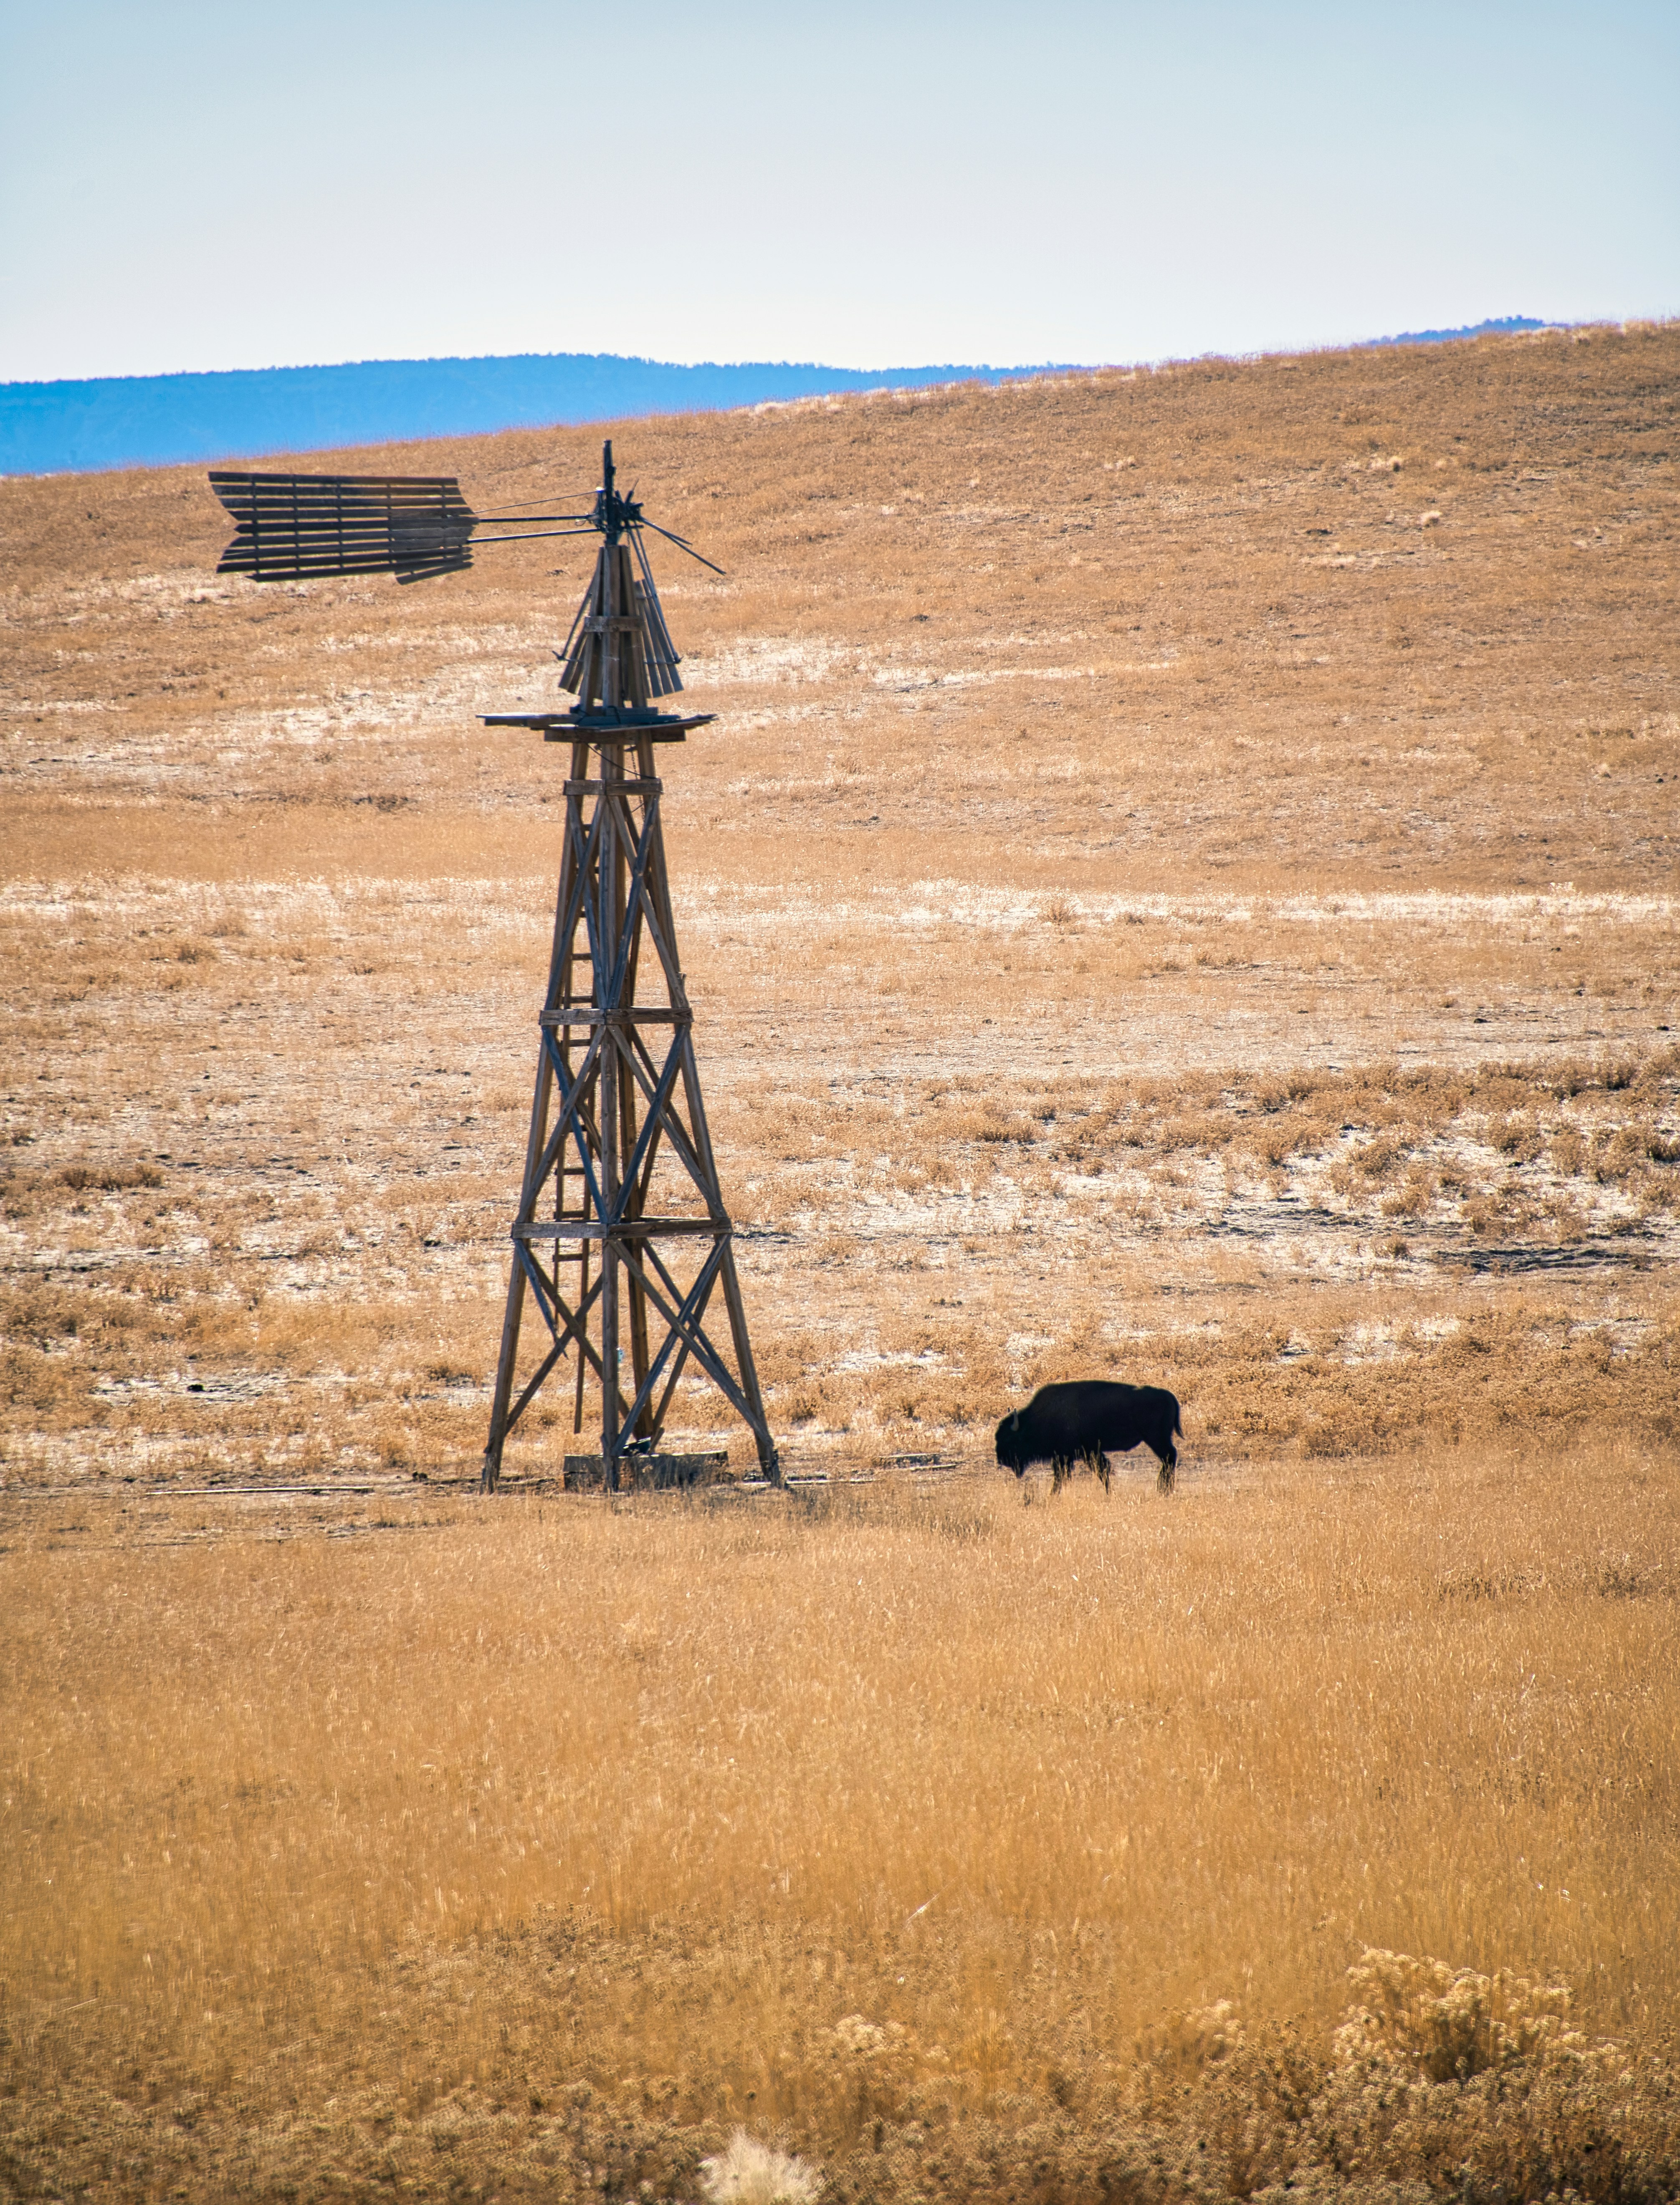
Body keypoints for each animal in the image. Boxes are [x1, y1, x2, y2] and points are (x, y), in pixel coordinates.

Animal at [995, 1380, 1182, 1493]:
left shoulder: (1071, 1455)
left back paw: (1163, 1490)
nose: (1001, 1459)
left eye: (1009, 1439)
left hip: (1156, 1439)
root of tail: (1169, 1396)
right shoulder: (1080, 1454)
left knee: (1169, 1457)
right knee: (1169, 1459)